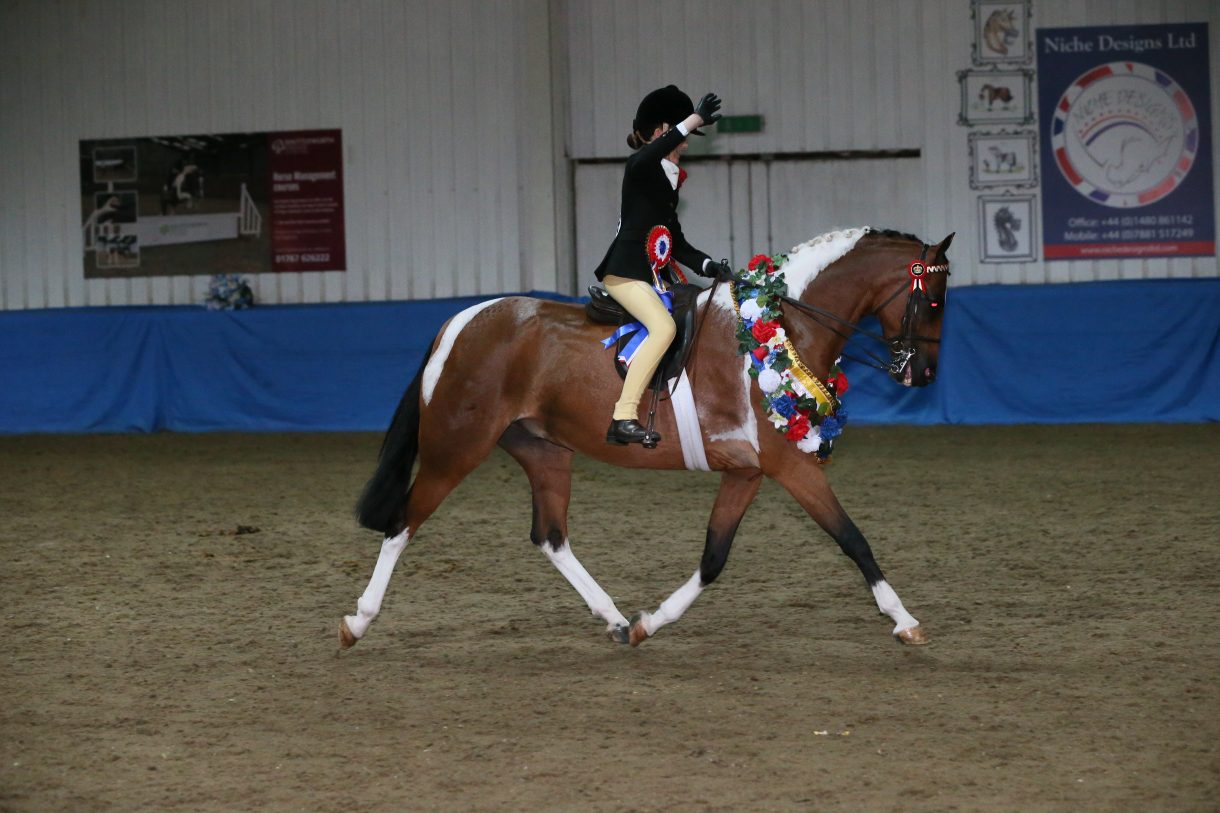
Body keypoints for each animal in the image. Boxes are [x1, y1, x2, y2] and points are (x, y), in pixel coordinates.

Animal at [338, 227, 954, 650]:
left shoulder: (747, 471)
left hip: (544, 451)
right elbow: (852, 539)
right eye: (935, 300)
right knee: (402, 525)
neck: (781, 326)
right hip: (456, 448)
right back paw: (357, 621)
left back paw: (613, 619)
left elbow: (714, 557)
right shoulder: (789, 467)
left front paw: (647, 624)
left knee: (550, 536)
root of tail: (459, 322)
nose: (924, 376)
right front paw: (905, 622)